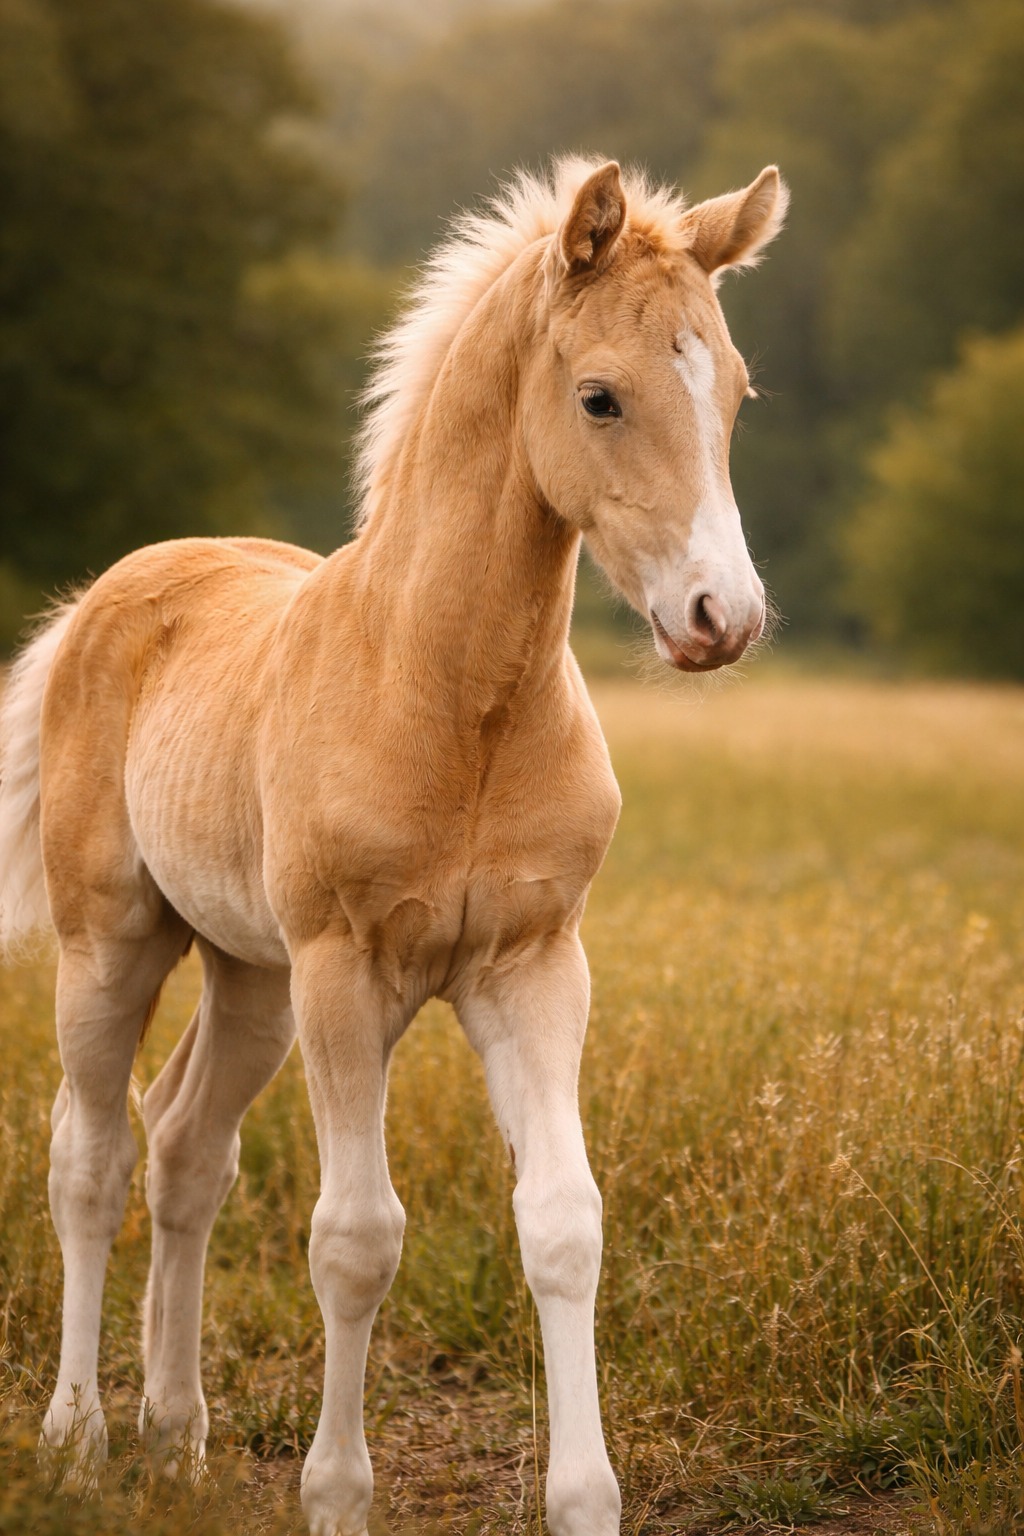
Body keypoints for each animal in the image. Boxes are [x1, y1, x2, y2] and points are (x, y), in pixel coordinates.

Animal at [0, 156, 786, 1536]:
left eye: (733, 391)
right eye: (600, 396)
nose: (721, 617)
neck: (449, 691)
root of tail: (104, 595)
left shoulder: (533, 966)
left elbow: (564, 1223)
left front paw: (585, 1500)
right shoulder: (346, 973)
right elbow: (355, 1239)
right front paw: (336, 1494)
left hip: (248, 974)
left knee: (185, 1146)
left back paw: (176, 1437)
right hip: (119, 944)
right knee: (90, 1158)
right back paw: (77, 1440)